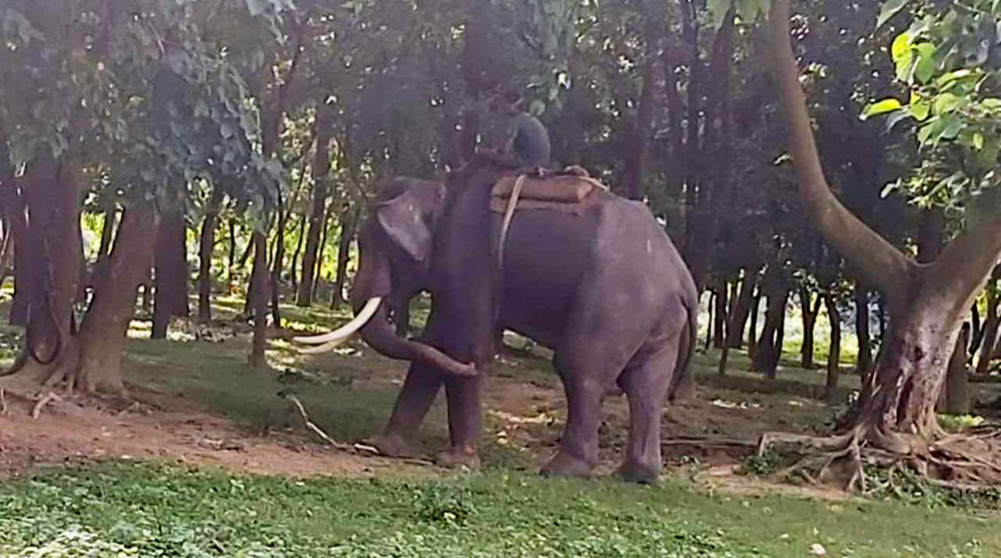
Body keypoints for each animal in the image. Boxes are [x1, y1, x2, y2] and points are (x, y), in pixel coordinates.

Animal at [296, 158, 698, 483]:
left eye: (378, 244)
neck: (441, 187)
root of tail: (681, 275)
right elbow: (437, 345)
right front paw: (384, 447)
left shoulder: (468, 254)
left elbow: (463, 343)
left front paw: (455, 462)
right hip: (656, 316)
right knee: (645, 386)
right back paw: (635, 475)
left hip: (616, 298)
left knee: (581, 368)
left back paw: (561, 471)